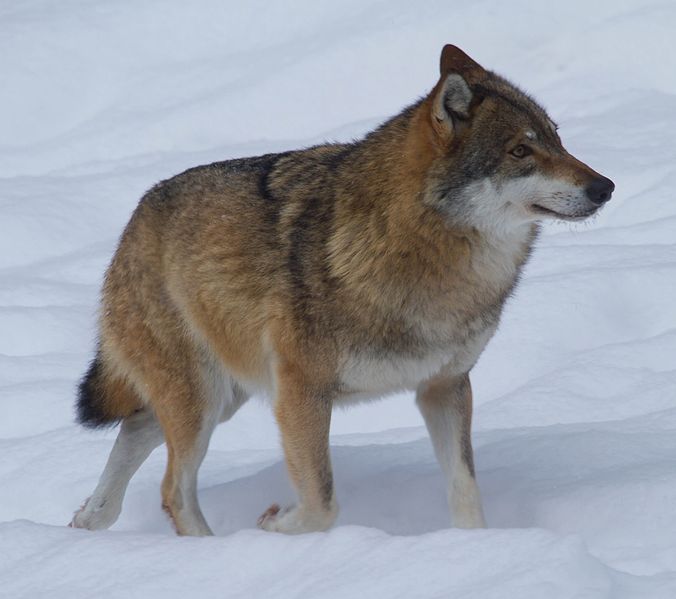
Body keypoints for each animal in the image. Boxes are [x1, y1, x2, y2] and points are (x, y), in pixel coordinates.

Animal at [70, 45, 614, 536]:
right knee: (173, 490)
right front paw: (275, 525)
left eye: (557, 138)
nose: (605, 187)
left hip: (224, 396)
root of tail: (136, 216)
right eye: (520, 151)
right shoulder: (301, 393)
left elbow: (465, 490)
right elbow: (322, 503)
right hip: (205, 399)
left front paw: (475, 548)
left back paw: (88, 520)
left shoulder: (444, 388)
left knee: (132, 436)